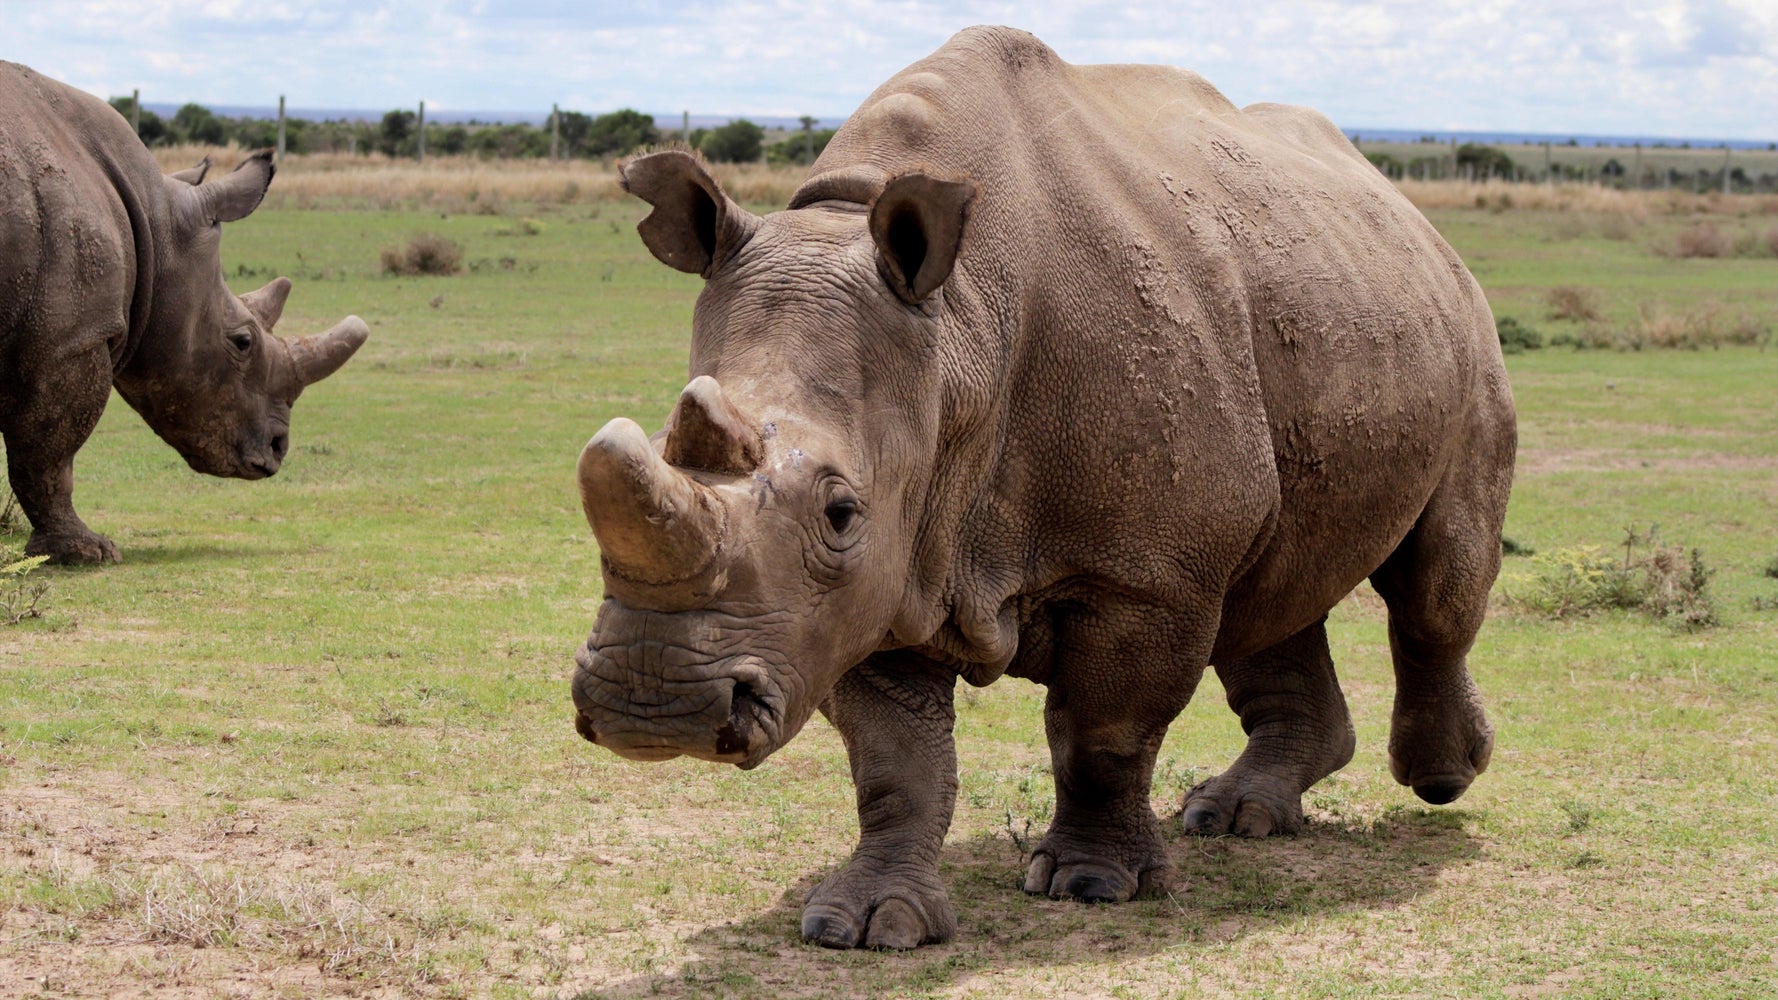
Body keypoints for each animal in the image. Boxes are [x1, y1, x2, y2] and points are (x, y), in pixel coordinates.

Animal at [0, 62, 367, 564]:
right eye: (242, 342)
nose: (278, 448)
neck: (155, 223)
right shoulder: (68, 338)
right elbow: (50, 448)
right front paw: (87, 553)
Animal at [571, 27, 1513, 949]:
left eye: (840, 512)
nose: (651, 702)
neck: (958, 335)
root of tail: (1406, 210)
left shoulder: (1144, 573)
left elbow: (1103, 732)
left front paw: (1090, 885)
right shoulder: (867, 585)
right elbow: (894, 764)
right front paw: (864, 925)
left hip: (1463, 328)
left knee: (1432, 590)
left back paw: (1440, 778)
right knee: (1272, 589)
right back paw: (1233, 817)